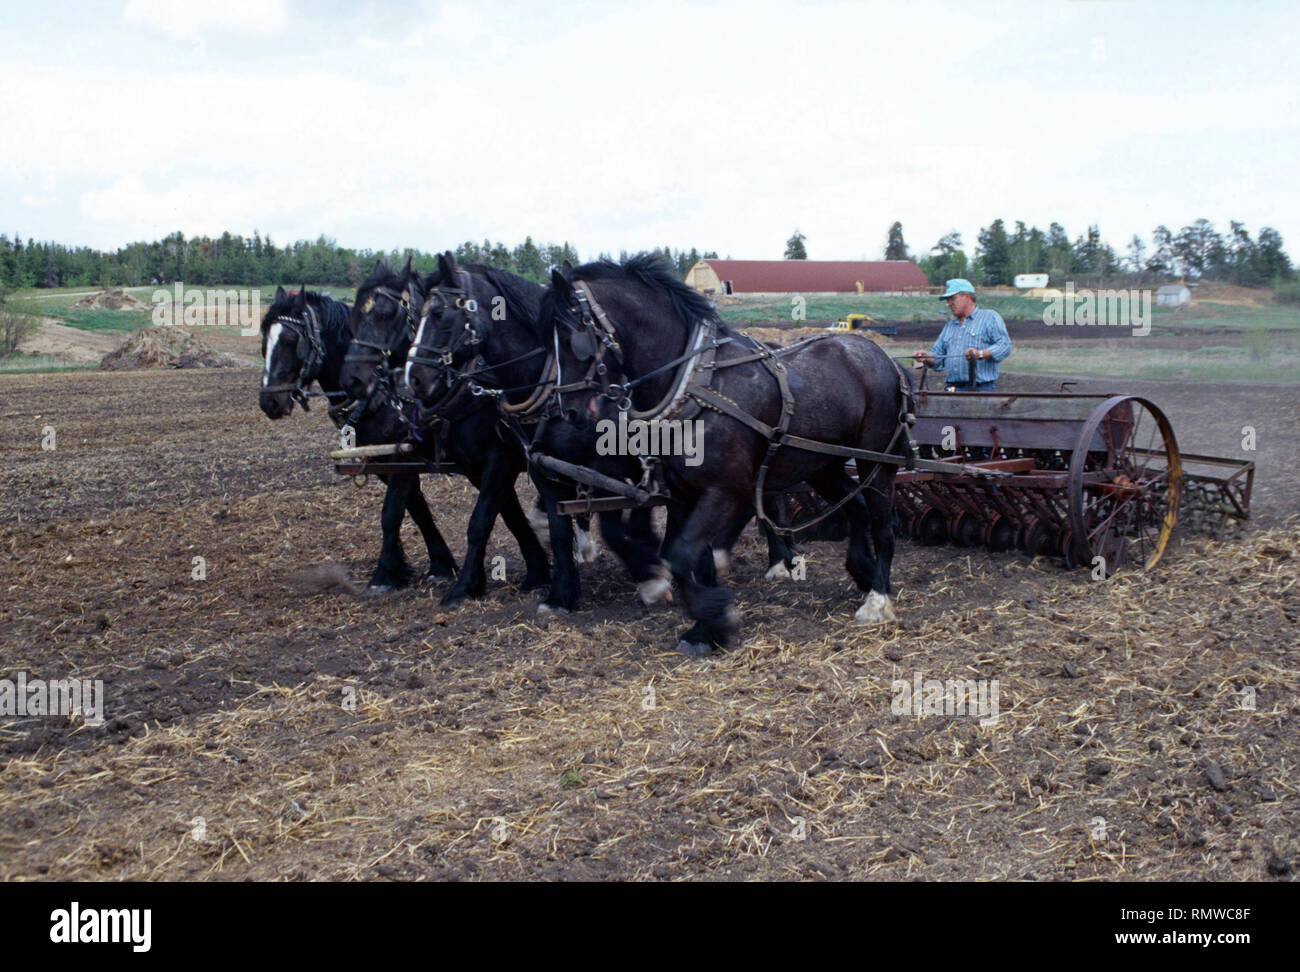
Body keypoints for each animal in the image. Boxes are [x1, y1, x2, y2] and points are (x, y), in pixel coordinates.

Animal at [257, 285, 459, 592]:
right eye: (263, 339)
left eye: (292, 340)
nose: (269, 401)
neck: (383, 390)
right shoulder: (384, 460)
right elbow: (416, 508)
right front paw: (435, 564)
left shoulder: (402, 454)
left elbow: (391, 513)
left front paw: (384, 574)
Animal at [339, 259, 553, 604]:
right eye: (355, 316)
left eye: (387, 314)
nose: (352, 379)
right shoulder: (454, 462)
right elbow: (503, 512)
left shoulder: (500, 457)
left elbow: (481, 518)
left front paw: (464, 584)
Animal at [543, 254, 909, 655]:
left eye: (573, 335)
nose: (568, 410)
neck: (697, 386)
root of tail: (885, 358)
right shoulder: (683, 494)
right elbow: (692, 559)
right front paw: (705, 630)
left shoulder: (725, 491)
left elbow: (681, 554)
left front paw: (717, 613)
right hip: (822, 465)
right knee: (856, 508)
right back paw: (863, 571)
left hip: (876, 462)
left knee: (884, 525)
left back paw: (877, 600)